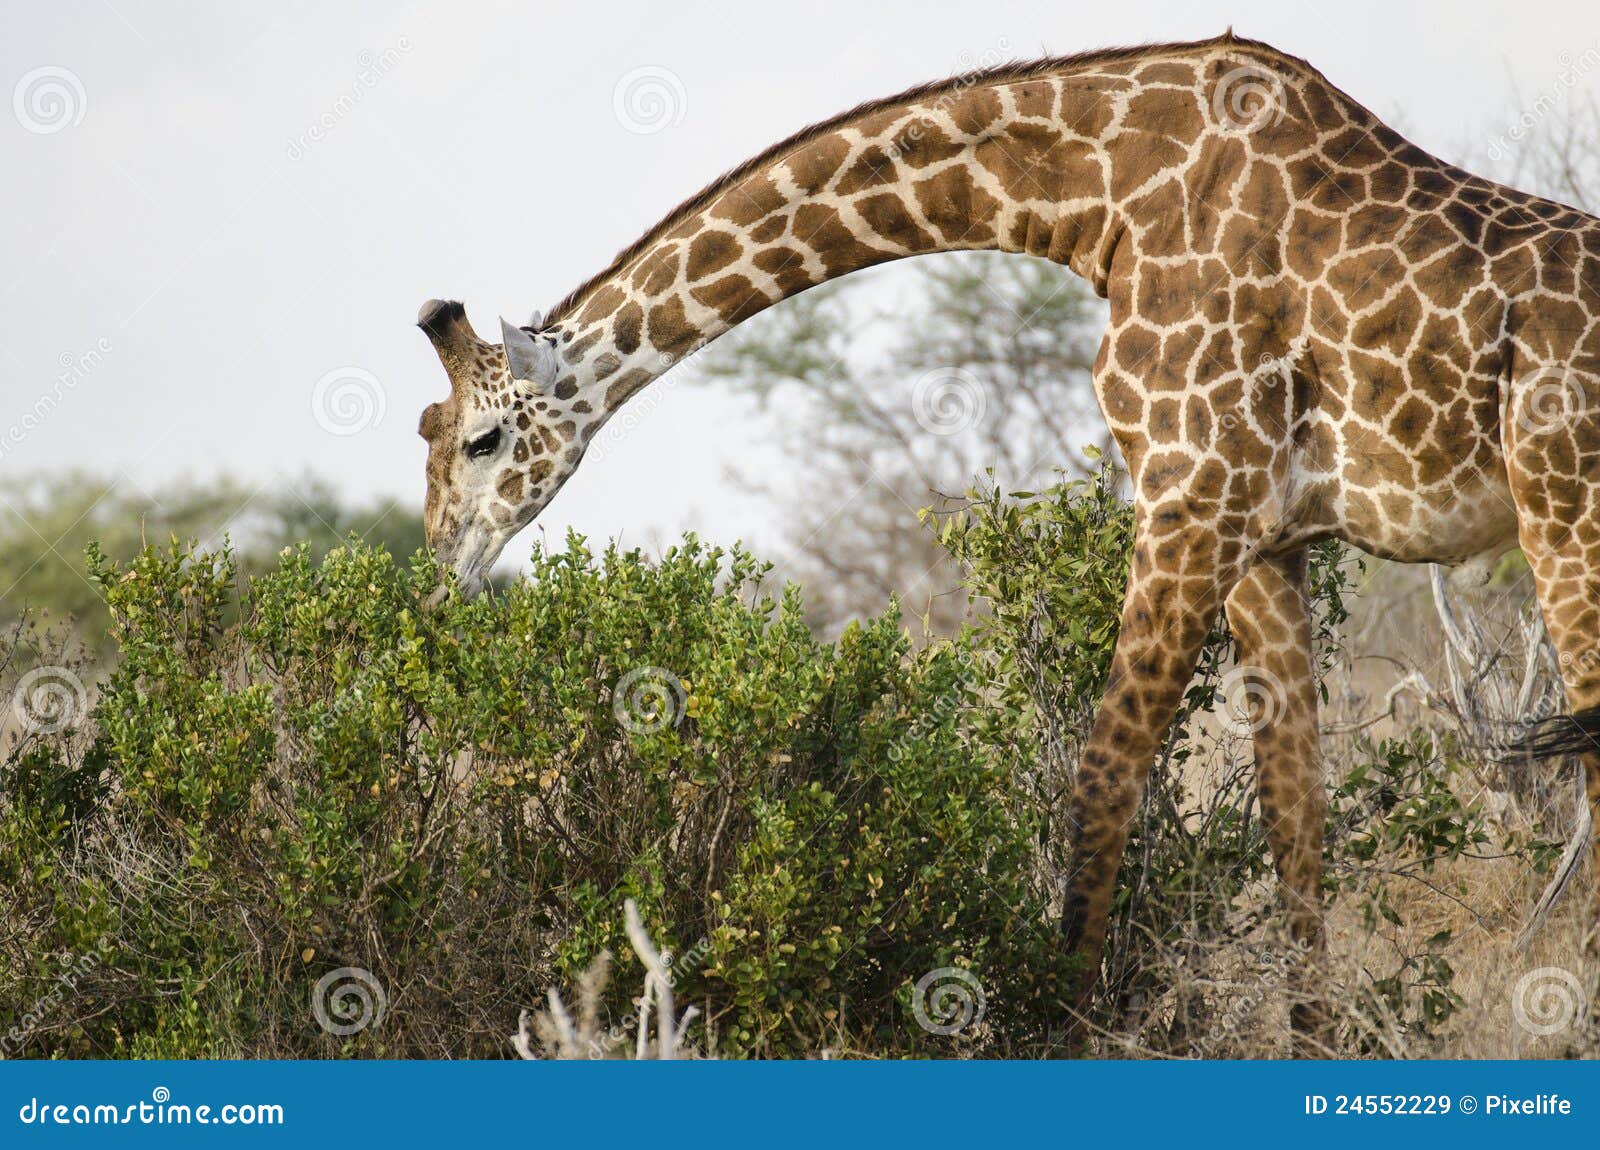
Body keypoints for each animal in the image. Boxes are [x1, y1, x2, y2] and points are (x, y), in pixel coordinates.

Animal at [415, 32, 1600, 1043]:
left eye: (479, 438)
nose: (438, 579)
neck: (1095, 191)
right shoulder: (1264, 533)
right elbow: (1296, 818)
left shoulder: (1190, 490)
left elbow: (1104, 770)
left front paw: (1061, 1024)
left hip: (1563, 506)